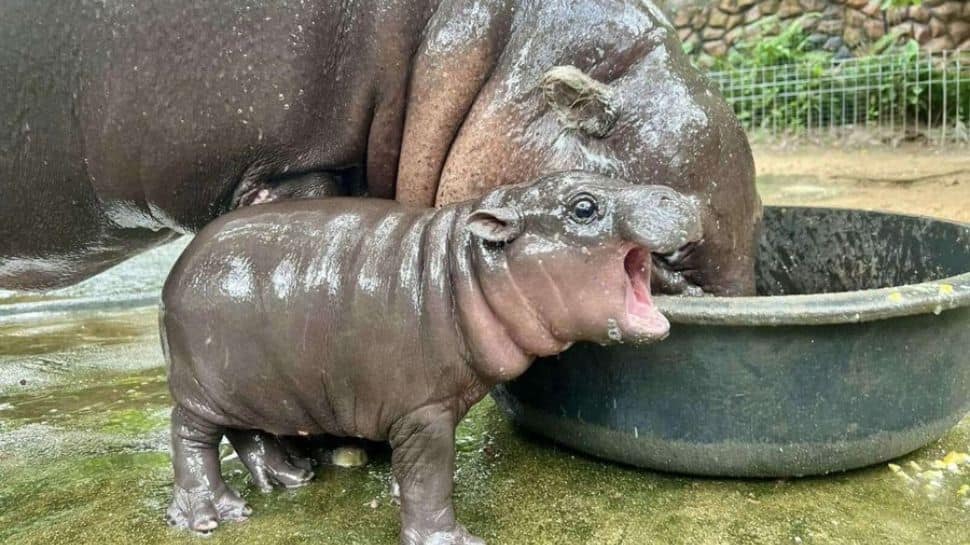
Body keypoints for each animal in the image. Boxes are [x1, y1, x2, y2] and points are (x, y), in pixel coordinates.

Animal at [160, 171, 703, 544]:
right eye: (584, 207)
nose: (677, 196)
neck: (466, 268)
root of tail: (178, 268)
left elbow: (415, 473)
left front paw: (397, 494)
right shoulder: (423, 412)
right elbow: (430, 476)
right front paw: (452, 539)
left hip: (249, 385)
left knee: (246, 430)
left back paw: (290, 478)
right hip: (200, 388)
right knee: (190, 436)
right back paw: (214, 516)